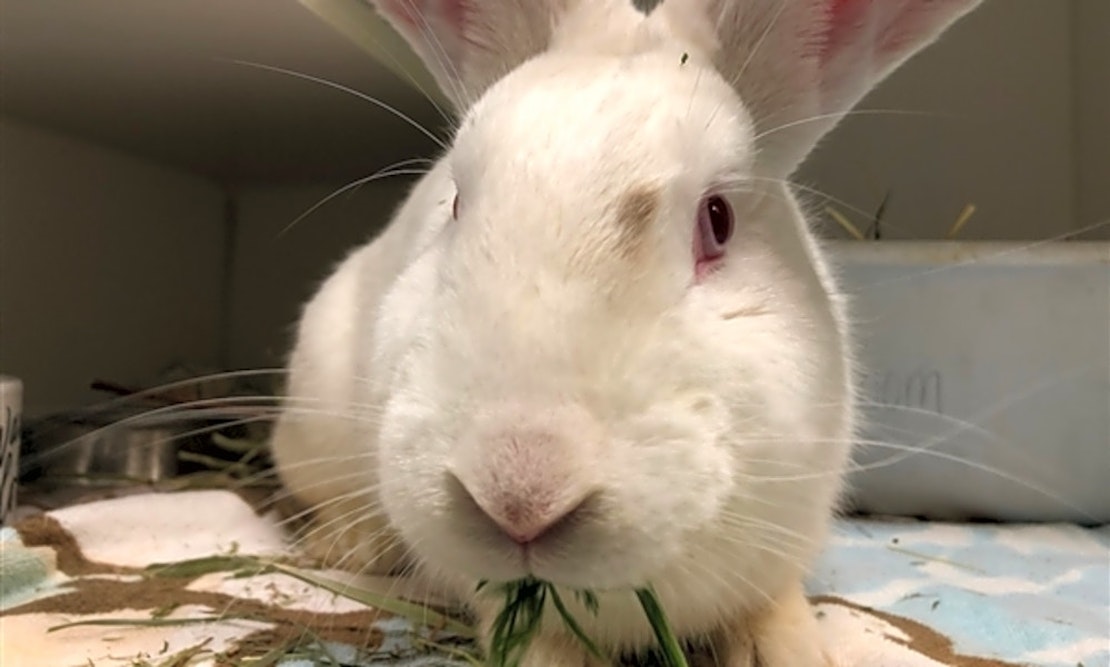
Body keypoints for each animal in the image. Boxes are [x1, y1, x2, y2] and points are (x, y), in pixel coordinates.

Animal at [268, 0, 981, 664]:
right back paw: (348, 544)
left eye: (718, 219)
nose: (518, 500)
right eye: (457, 204)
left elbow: (771, 607)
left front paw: (792, 652)